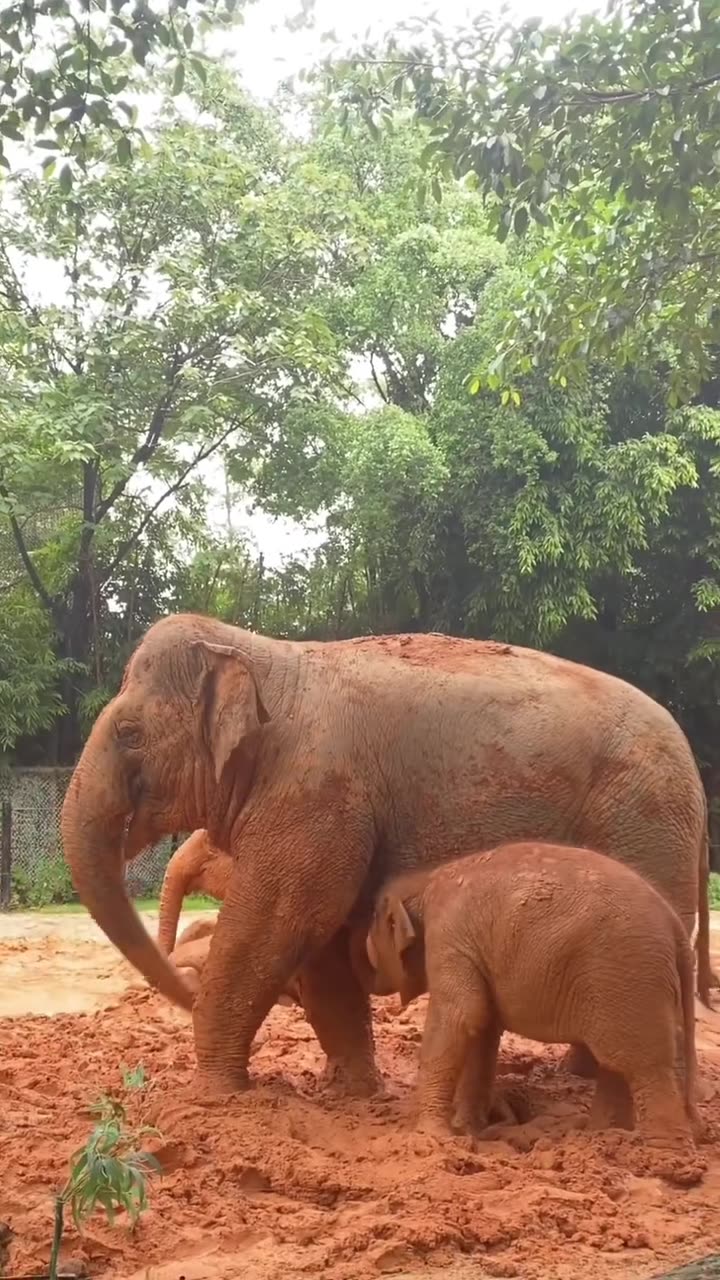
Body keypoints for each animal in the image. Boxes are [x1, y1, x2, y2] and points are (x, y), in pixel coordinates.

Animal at [60, 614, 710, 1100]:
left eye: (129, 734)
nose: (181, 986)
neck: (262, 653)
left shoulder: (316, 795)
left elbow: (275, 925)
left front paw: (215, 1098)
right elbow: (319, 948)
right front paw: (353, 1094)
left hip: (646, 823)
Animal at [366, 841, 703, 1183]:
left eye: (373, 923)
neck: (422, 883)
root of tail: (674, 924)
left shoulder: (448, 938)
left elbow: (462, 1015)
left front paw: (430, 1136)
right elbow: (484, 1026)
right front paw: (468, 1129)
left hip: (629, 973)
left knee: (645, 1066)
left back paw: (668, 1165)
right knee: (618, 1062)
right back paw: (601, 1138)